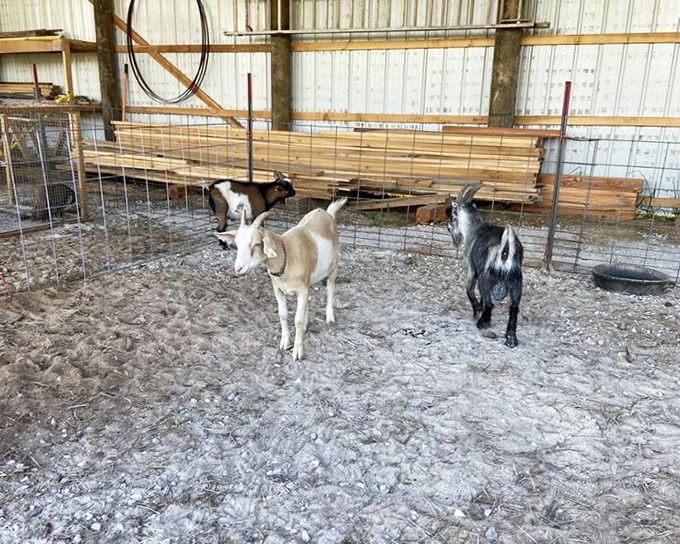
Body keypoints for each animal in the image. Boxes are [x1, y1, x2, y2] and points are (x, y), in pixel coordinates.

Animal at [216, 198, 348, 361]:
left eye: (256, 244)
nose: (238, 269)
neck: (287, 255)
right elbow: (283, 314)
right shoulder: (278, 289)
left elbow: (297, 319)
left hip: (334, 265)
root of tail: (326, 212)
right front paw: (284, 342)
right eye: (237, 245)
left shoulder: (301, 289)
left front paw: (298, 351)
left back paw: (329, 316)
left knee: (330, 288)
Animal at [446, 184, 524, 348]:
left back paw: (483, 322)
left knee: (489, 303)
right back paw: (511, 339)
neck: (473, 228)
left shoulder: (471, 268)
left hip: (486, 277)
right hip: (516, 281)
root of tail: (505, 249)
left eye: (453, 215)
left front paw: (477, 311)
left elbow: (469, 290)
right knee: (514, 308)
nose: (449, 227)